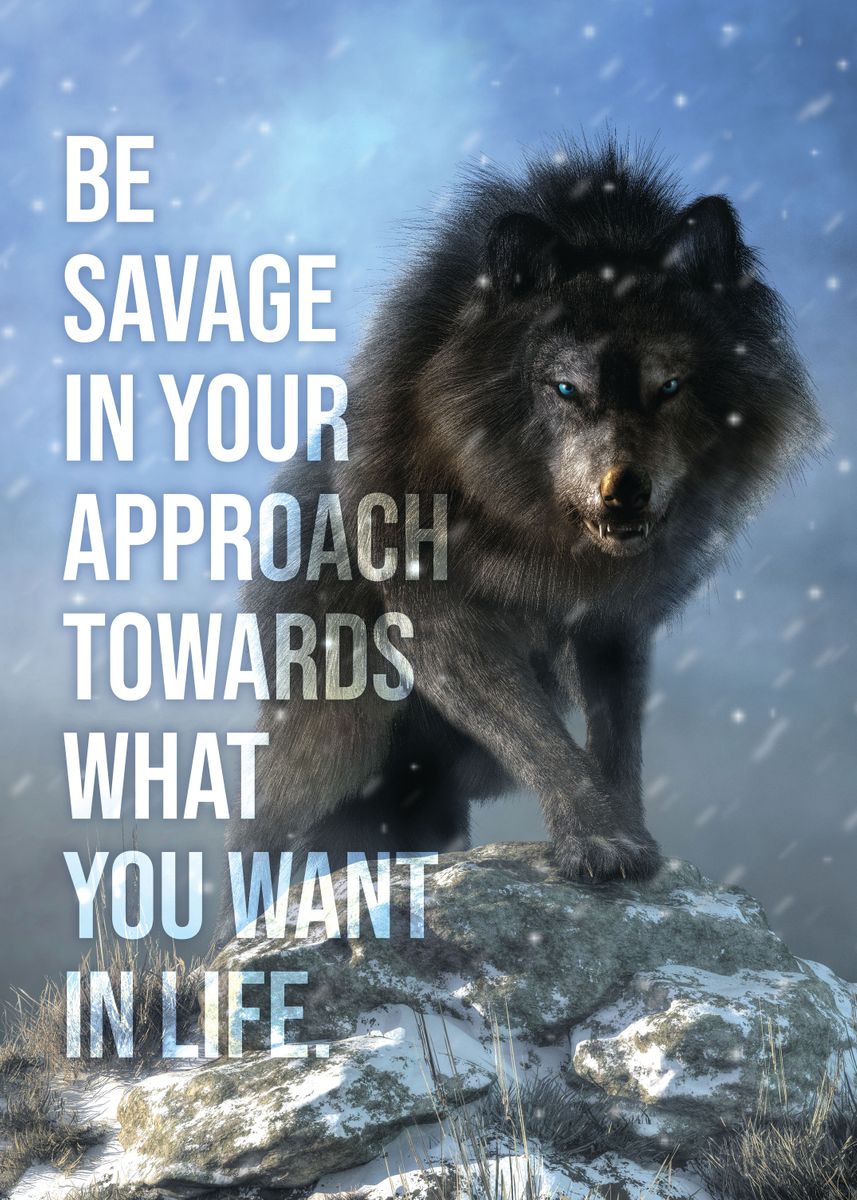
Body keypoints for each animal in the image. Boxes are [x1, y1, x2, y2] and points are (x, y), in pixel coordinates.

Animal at [221, 138, 820, 929]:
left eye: (669, 386)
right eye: (565, 389)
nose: (624, 491)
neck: (539, 533)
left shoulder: (615, 623)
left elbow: (615, 740)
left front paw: (628, 836)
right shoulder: (433, 615)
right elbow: (537, 734)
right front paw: (597, 841)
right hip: (335, 734)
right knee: (264, 835)